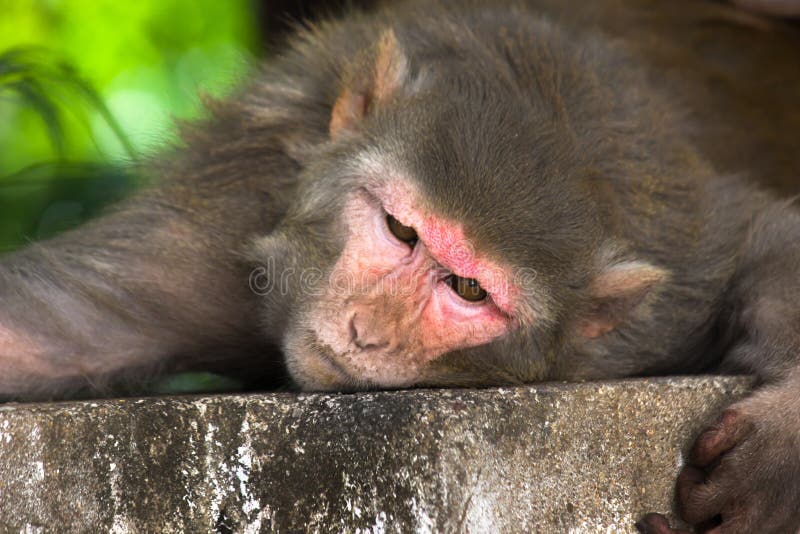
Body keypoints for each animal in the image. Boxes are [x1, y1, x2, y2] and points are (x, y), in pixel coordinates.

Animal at [1, 0, 800, 531]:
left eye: (470, 288)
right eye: (399, 230)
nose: (365, 329)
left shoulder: (669, 291)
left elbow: (765, 237)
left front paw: (779, 447)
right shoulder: (226, 218)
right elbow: (48, 334)